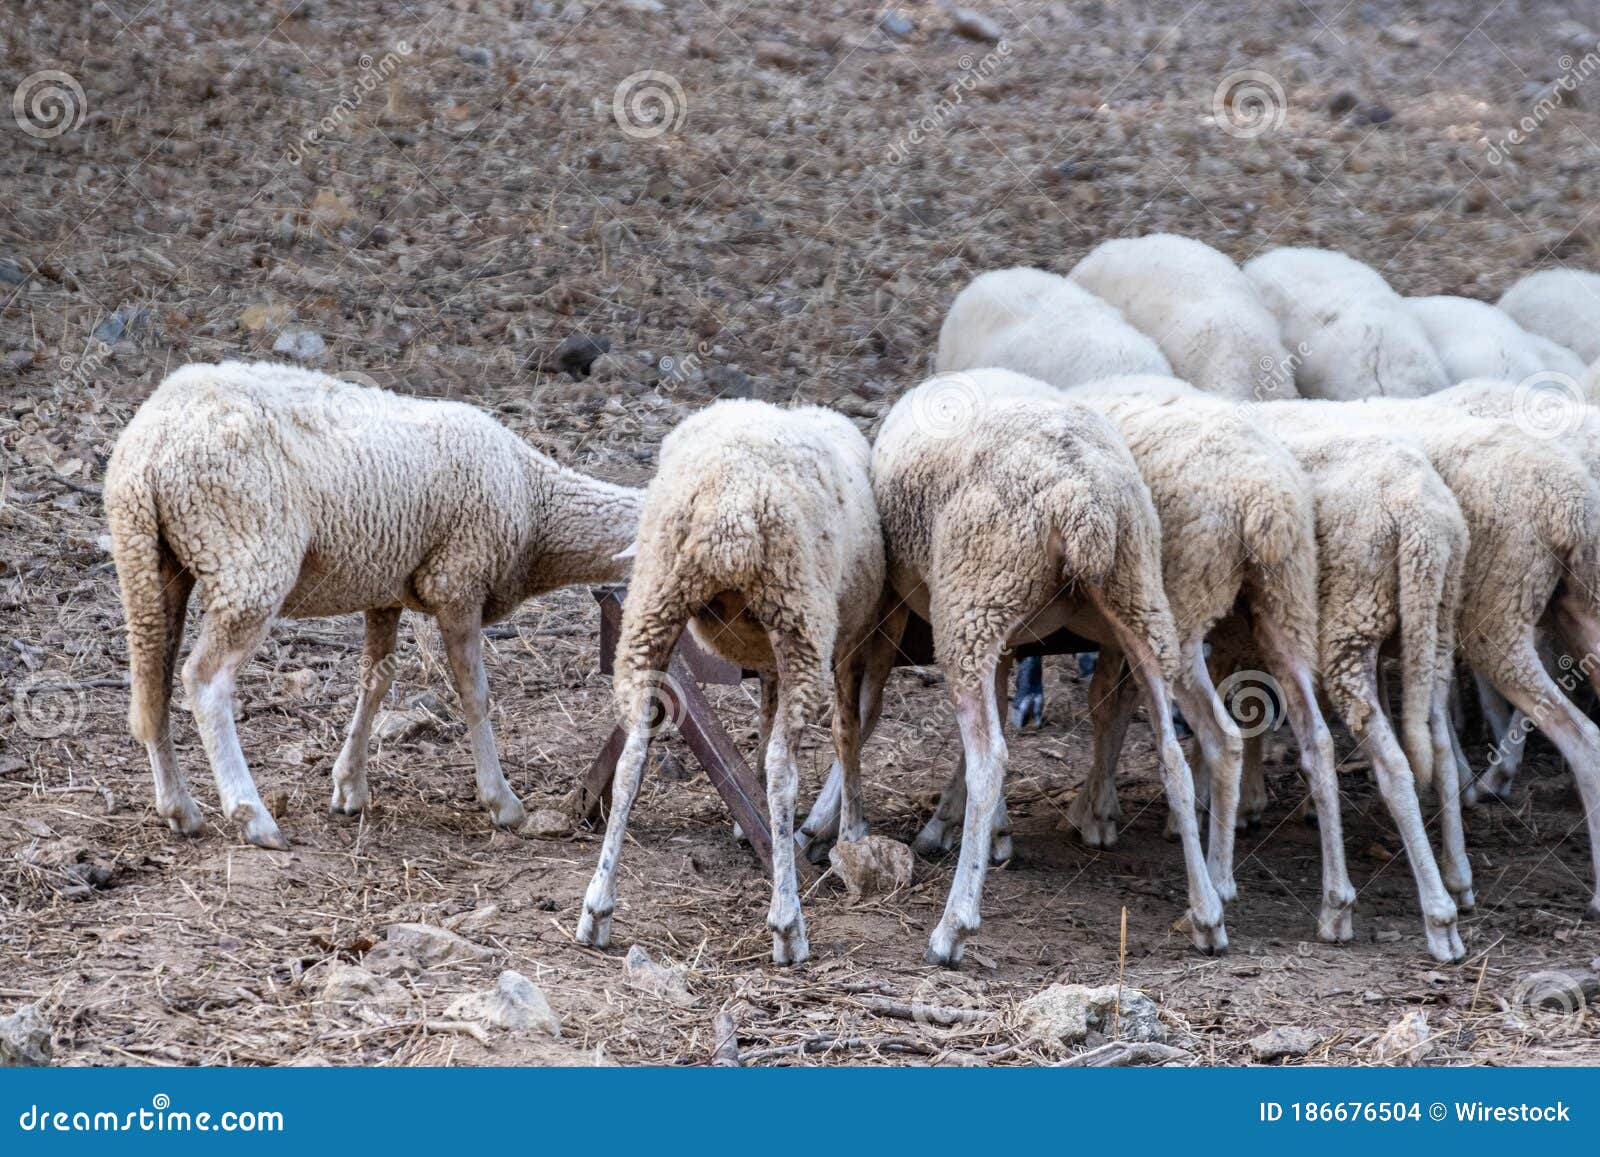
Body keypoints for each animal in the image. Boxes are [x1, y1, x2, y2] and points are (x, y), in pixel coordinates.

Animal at [104, 360, 643, 850]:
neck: (537, 506)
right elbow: (475, 693)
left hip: (153, 564)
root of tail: (147, 452)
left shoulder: (385, 590)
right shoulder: (458, 579)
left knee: (153, 684)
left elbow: (375, 681)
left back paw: (180, 808)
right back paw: (252, 814)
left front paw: (350, 786)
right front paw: (502, 801)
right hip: (247, 556)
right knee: (205, 680)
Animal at [574, 399, 885, 966]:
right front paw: (852, 830)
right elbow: (846, 733)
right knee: (784, 767)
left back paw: (597, 909)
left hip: (655, 601)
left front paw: (751, 817)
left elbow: (765, 719)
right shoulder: (852, 638)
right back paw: (788, 925)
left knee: (632, 757)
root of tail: (729, 506)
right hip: (800, 615)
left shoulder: (768, 657)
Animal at [864, 368, 1227, 964]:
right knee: (1173, 756)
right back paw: (1208, 917)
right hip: (1137, 596)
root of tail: (1085, 501)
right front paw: (990, 831)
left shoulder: (922, 612)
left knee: (990, 757)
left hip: (974, 594)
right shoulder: (1006, 641)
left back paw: (953, 927)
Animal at [1244, 405, 1474, 961]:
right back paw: (1456, 882)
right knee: (1439, 750)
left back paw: (1433, 917)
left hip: (1350, 615)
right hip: (1433, 623)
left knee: (1391, 765)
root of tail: (1421, 519)